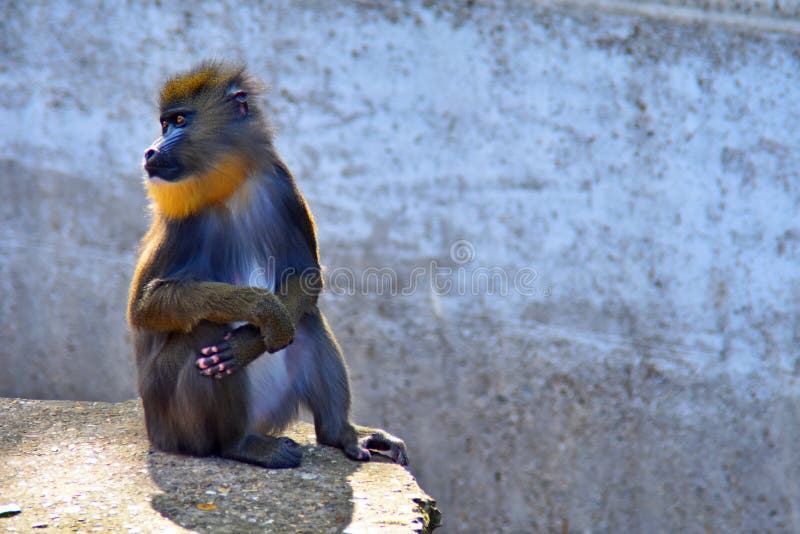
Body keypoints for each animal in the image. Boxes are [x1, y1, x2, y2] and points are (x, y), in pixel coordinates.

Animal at [127, 61, 407, 469]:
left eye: (178, 120)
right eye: (165, 124)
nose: (151, 151)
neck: (230, 182)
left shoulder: (281, 186)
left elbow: (305, 277)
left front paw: (247, 344)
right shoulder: (181, 222)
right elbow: (145, 306)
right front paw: (261, 308)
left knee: (306, 319)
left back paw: (341, 434)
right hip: (171, 423)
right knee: (203, 331)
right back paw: (240, 446)